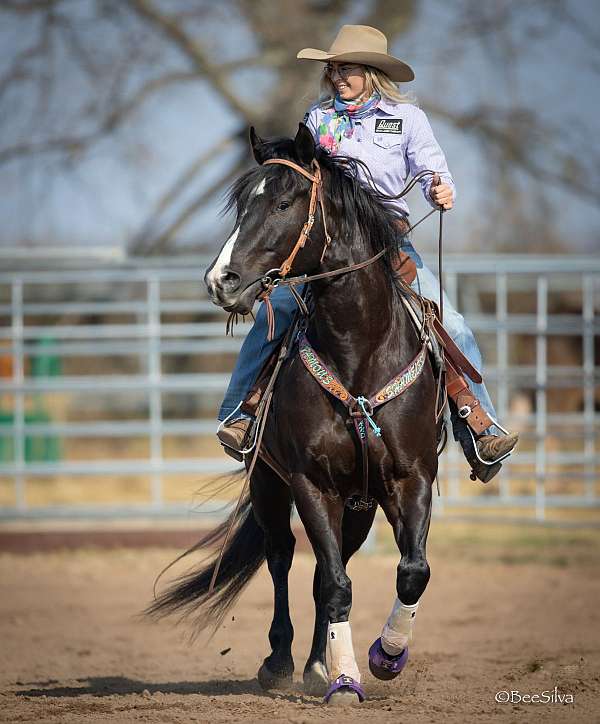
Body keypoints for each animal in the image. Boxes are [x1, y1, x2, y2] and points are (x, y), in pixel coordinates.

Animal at [147, 123, 439, 705]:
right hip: (269, 482)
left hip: (358, 503)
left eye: (284, 202)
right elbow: (331, 581)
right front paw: (347, 681)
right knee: (284, 557)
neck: (359, 354)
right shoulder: (309, 482)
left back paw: (317, 663)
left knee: (331, 569)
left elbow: (410, 571)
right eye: (241, 206)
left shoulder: (412, 477)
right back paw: (282, 661)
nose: (221, 279)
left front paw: (385, 656)